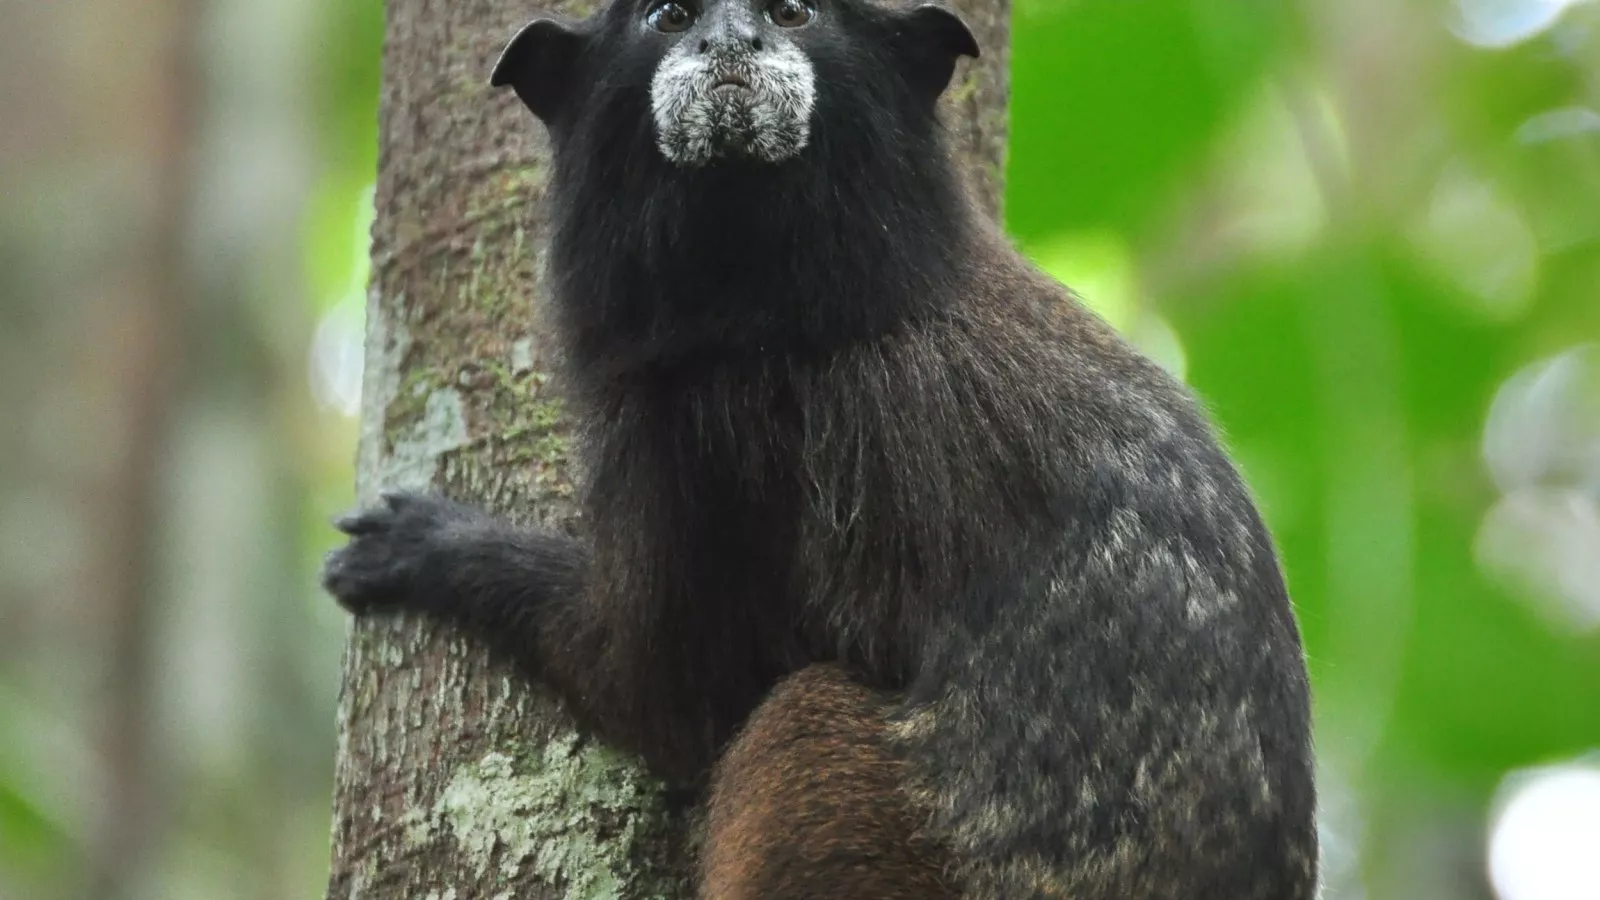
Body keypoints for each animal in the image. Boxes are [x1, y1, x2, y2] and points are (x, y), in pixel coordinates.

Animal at [321, 0, 1320, 895]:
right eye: (669, 15)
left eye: (791, 11)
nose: (731, 36)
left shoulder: (704, 427)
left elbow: (665, 688)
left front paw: (441, 551)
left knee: (802, 718)